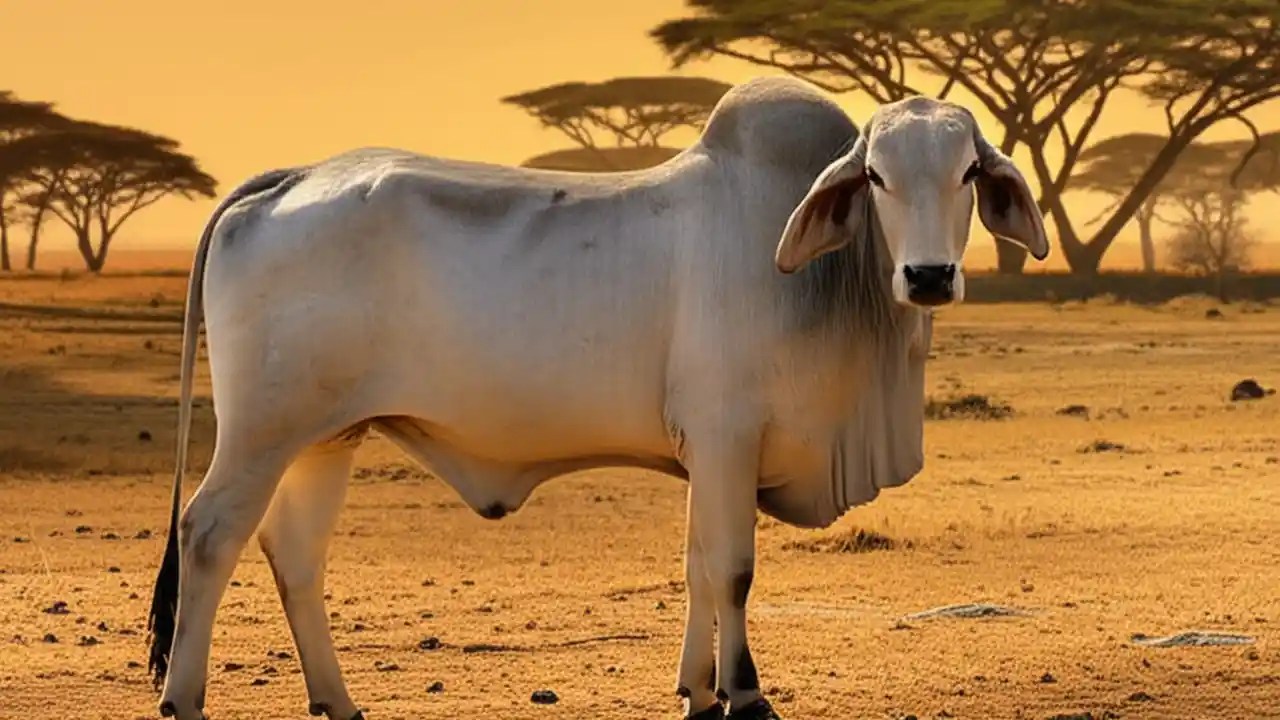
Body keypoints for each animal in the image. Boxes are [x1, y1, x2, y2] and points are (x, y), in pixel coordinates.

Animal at [146, 76, 1048, 720]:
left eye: (968, 172)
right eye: (877, 176)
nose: (928, 275)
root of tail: (289, 177)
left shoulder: (707, 454)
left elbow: (696, 565)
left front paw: (699, 690)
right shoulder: (727, 435)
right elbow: (732, 568)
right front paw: (746, 694)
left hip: (328, 435)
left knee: (294, 553)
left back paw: (339, 702)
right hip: (262, 433)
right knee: (208, 535)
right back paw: (184, 700)